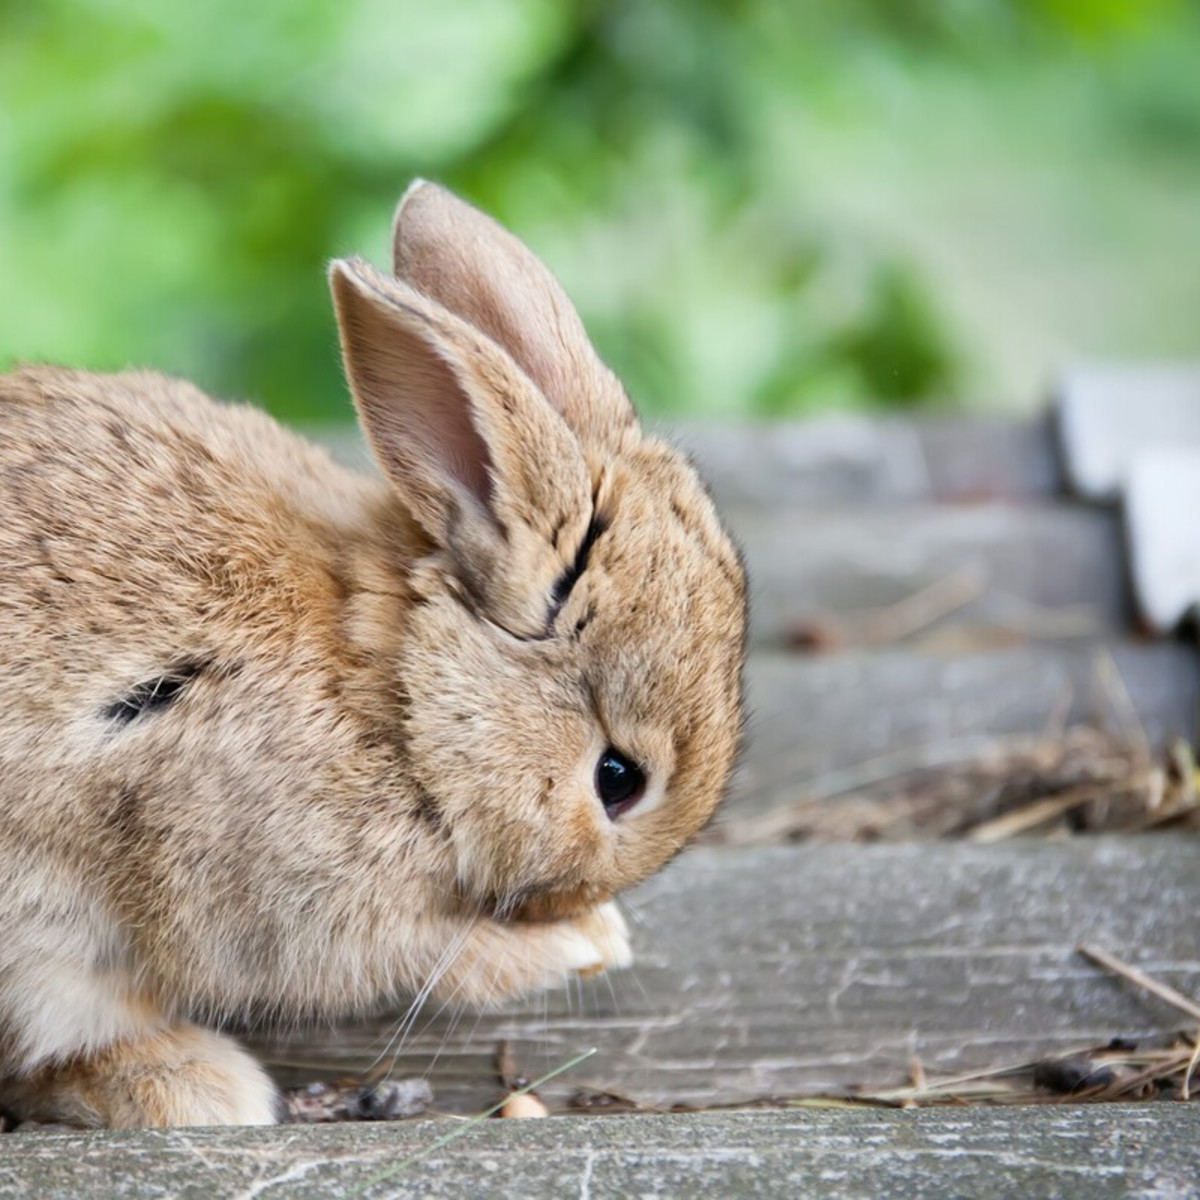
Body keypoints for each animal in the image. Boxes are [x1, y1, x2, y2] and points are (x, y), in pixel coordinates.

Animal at [0, 181, 747, 1128]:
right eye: (617, 779)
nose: (574, 899)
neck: (396, 699)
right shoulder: (286, 900)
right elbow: (429, 957)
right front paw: (582, 947)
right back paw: (194, 1085)